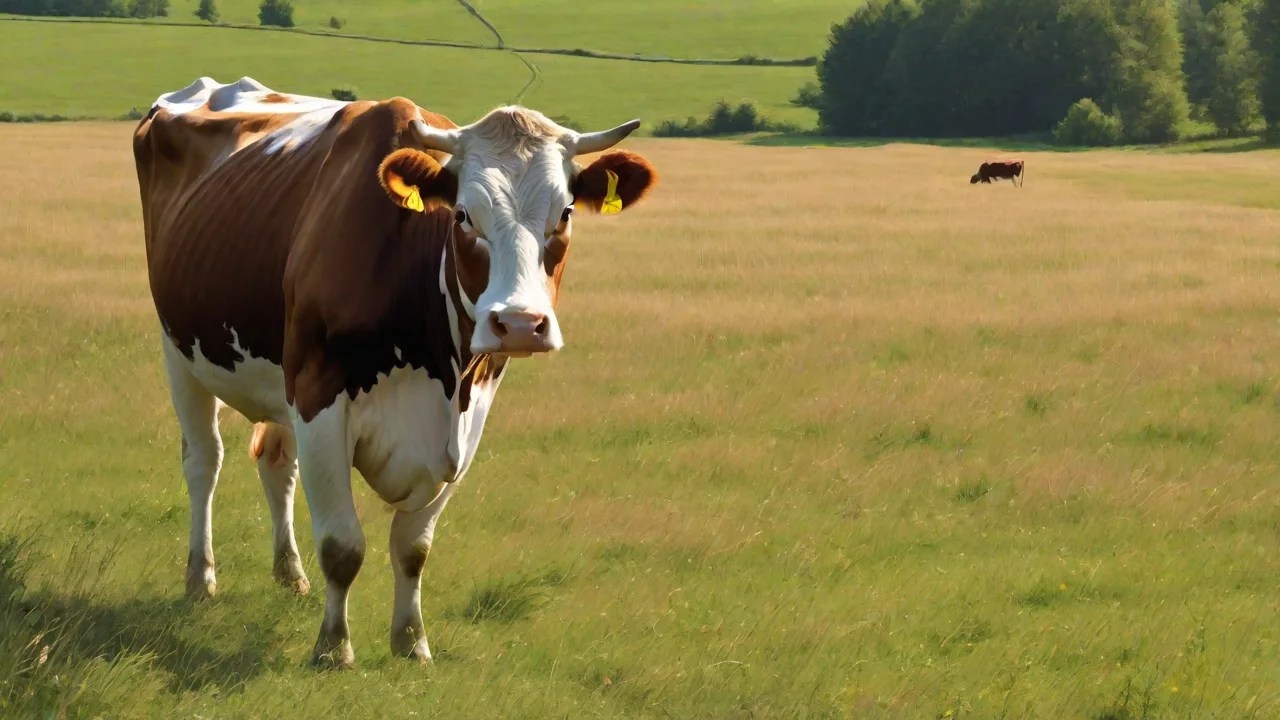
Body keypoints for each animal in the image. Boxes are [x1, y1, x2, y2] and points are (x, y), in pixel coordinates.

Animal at [132, 77, 658, 668]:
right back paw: (201, 579)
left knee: (275, 462)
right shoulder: (317, 394)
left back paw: (289, 574)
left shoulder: (468, 416)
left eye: (564, 213)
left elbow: (412, 548)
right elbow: (342, 546)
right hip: (180, 351)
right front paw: (333, 648)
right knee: (204, 462)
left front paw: (411, 642)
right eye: (463, 215)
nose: (521, 324)